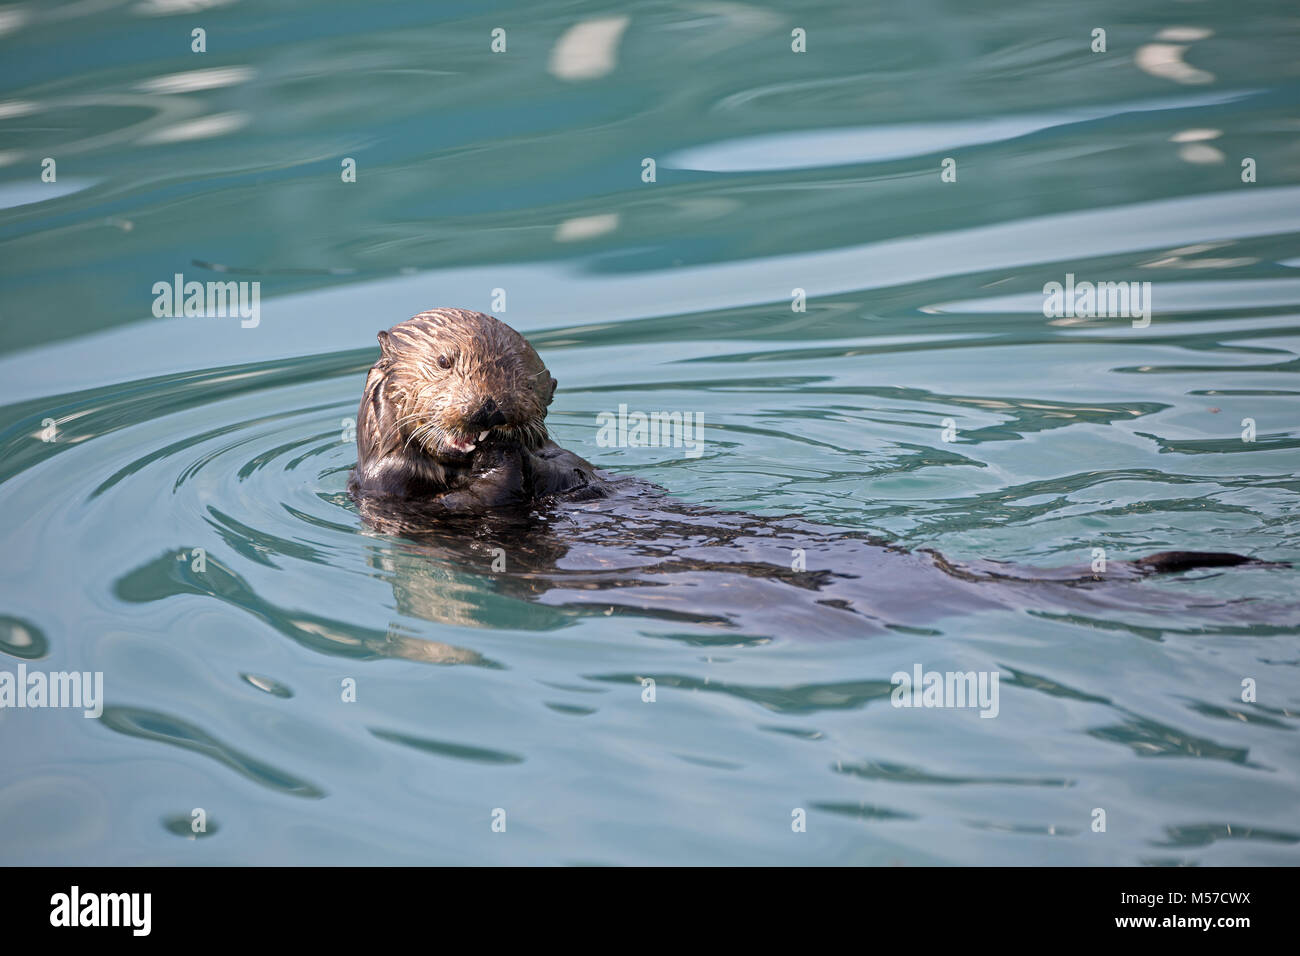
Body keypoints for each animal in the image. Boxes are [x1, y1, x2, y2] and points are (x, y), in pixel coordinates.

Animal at [346, 308, 1290, 635]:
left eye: (516, 367)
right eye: (445, 362)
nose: (485, 413)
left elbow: (562, 471)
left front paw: (529, 451)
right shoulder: (394, 496)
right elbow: (449, 494)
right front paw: (492, 458)